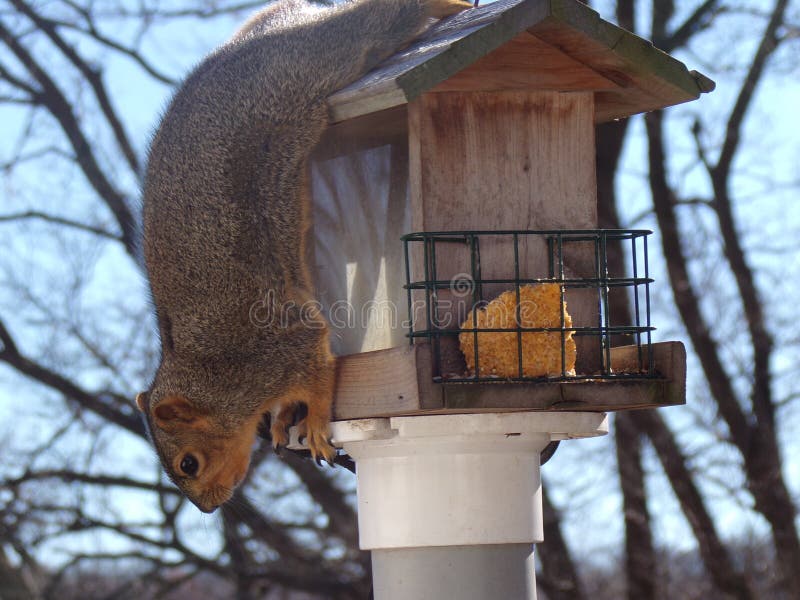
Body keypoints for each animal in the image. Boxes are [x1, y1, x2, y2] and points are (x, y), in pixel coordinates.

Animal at [136, 0, 472, 513]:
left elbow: (319, 372)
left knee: (373, 23)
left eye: (187, 463)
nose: (208, 508)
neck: (213, 372)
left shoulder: (282, 343)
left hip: (318, 61)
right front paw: (281, 420)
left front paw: (312, 420)